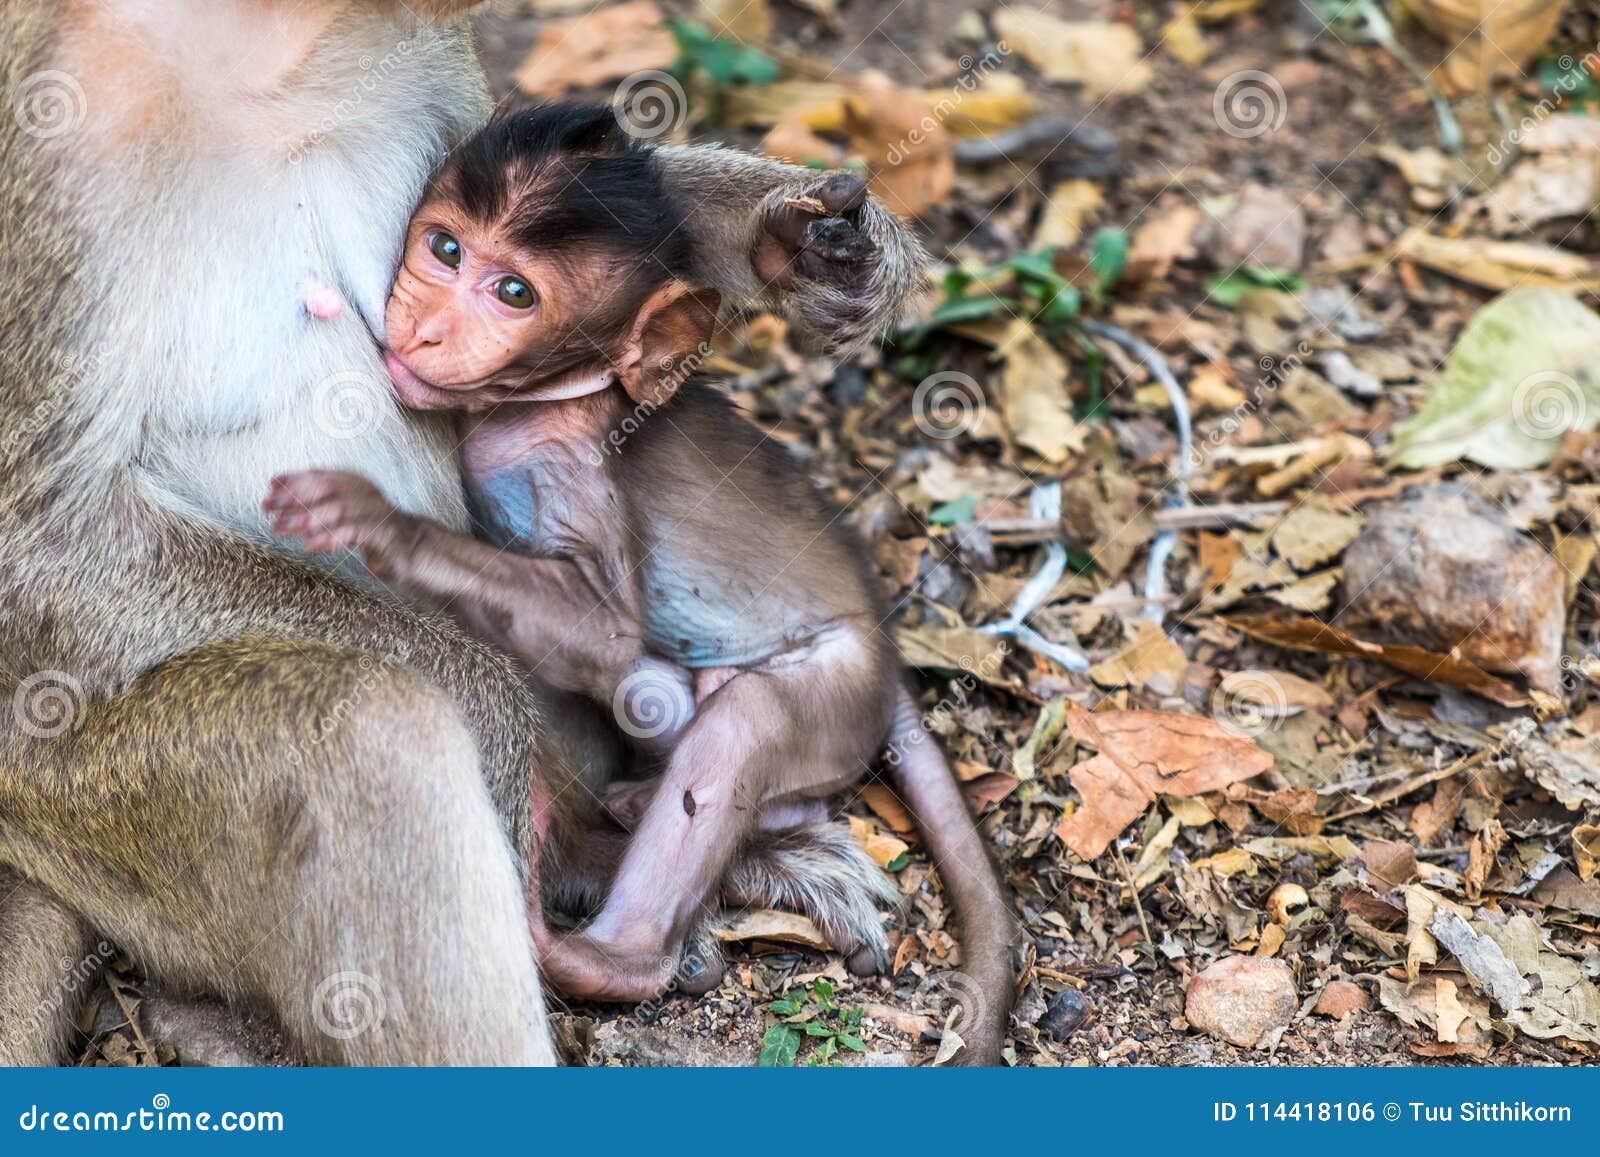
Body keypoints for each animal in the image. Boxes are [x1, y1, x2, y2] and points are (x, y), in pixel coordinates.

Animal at [0, 1, 929, 1066]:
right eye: (444, 255)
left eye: (511, 291)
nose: (437, 325)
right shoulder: (41, 138)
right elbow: (46, 547)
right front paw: (494, 721)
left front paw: (794, 237)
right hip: (77, 797)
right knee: (368, 730)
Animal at [263, 102, 1017, 1063]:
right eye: (445, 248)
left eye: (515, 294)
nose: (425, 326)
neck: (548, 399)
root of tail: (888, 648)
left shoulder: (567, 466)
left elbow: (603, 629)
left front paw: (380, 523)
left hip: (837, 688)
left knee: (738, 721)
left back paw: (609, 954)